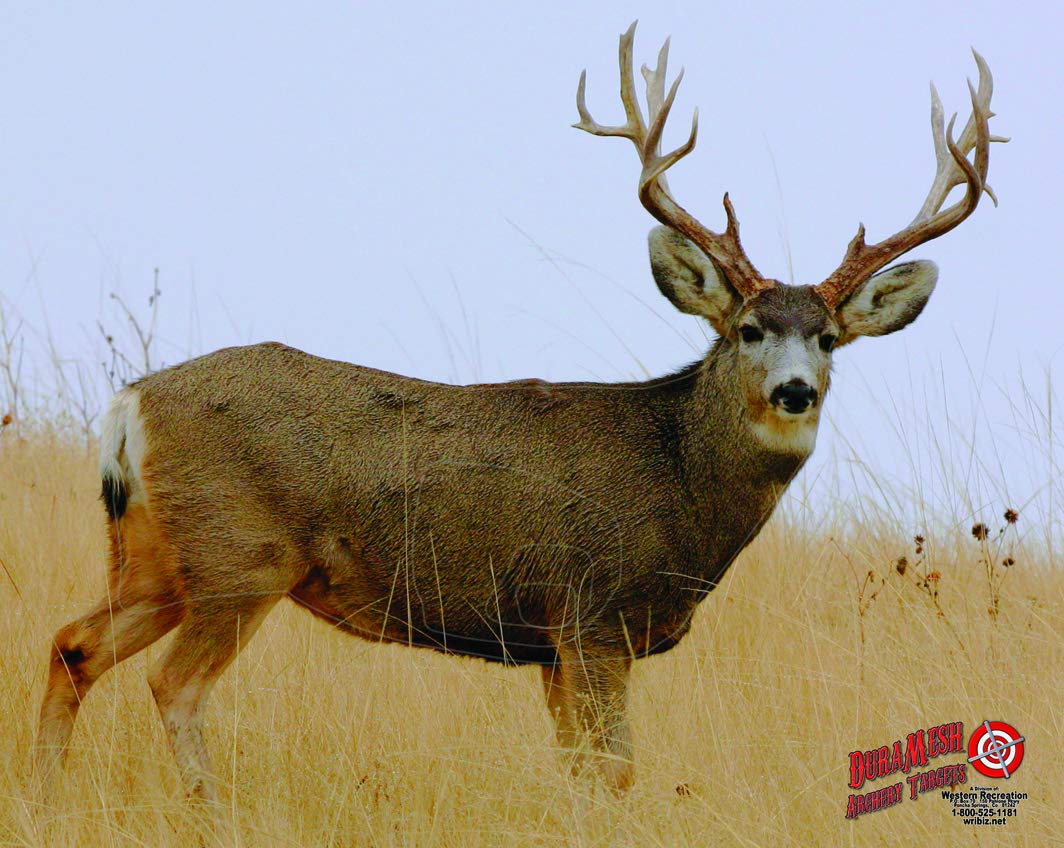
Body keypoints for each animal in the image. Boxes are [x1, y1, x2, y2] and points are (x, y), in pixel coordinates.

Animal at [33, 21, 995, 808]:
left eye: (830, 339)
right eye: (750, 329)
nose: (795, 390)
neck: (679, 484)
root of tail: (130, 402)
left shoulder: (550, 644)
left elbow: (576, 771)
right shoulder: (593, 615)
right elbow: (615, 773)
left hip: (157, 555)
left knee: (71, 644)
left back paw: (45, 794)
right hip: (240, 556)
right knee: (172, 684)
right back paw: (208, 809)